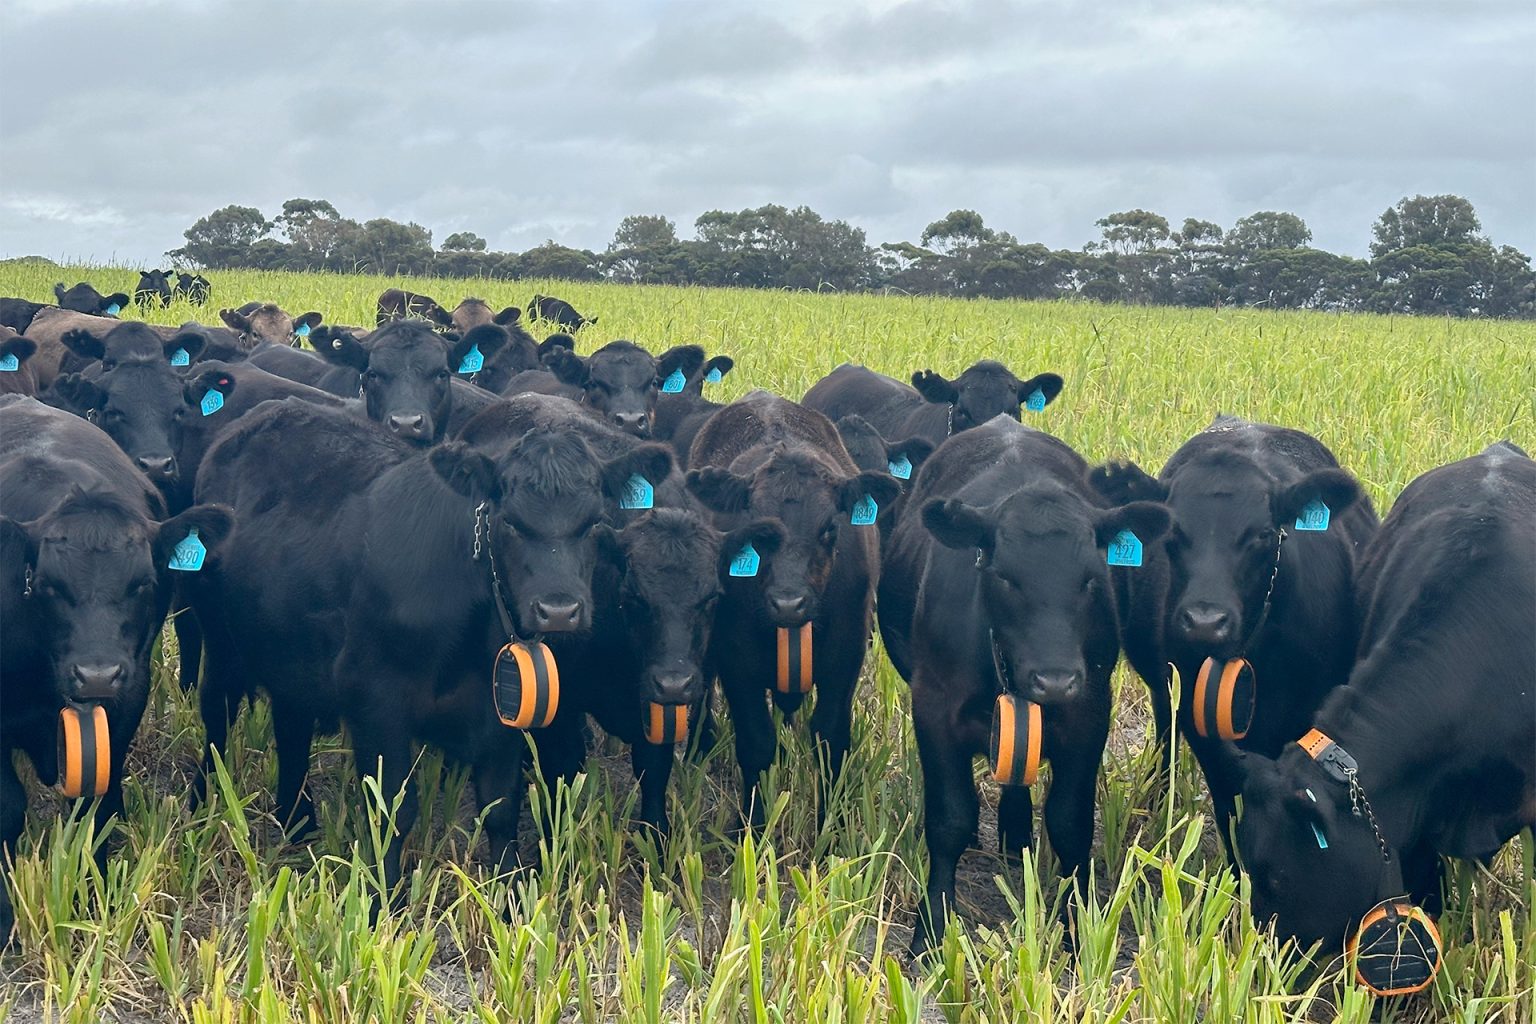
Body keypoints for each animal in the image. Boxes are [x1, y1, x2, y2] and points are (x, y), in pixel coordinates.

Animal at [0, 395, 232, 943]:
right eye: (48, 585)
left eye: (143, 582)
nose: (97, 674)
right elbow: (7, 807)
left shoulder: (127, 698)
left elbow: (94, 808)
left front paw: (93, 891)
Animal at [190, 398, 658, 894]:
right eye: (510, 521)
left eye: (594, 522)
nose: (559, 609)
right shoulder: (376, 701)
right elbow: (392, 814)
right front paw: (383, 901)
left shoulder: (500, 715)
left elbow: (500, 810)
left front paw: (507, 896)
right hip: (219, 641)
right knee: (217, 715)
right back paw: (203, 802)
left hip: (290, 655)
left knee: (291, 724)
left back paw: (298, 823)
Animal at [685, 391, 900, 834]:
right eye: (757, 529)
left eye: (829, 528)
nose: (788, 602)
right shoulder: (737, 661)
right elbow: (755, 741)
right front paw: (750, 825)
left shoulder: (845, 657)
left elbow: (830, 739)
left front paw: (832, 827)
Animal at [876, 416, 1171, 954]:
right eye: (1004, 576)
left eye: (1091, 578)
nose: (1054, 679)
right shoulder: (934, 708)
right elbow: (949, 819)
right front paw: (931, 928)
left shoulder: (1088, 713)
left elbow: (1071, 824)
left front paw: (1078, 931)